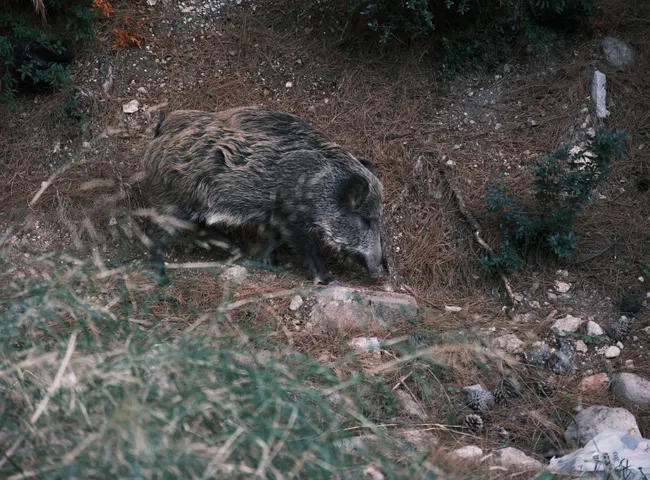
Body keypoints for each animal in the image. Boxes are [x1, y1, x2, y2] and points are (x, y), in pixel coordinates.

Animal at [140, 105, 387, 285]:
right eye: (365, 220)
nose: (379, 272)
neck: (321, 184)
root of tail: (158, 135)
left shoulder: (276, 216)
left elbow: (273, 239)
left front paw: (271, 262)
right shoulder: (294, 219)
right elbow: (307, 249)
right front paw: (328, 281)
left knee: (199, 227)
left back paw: (235, 251)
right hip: (173, 203)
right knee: (157, 236)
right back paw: (163, 279)